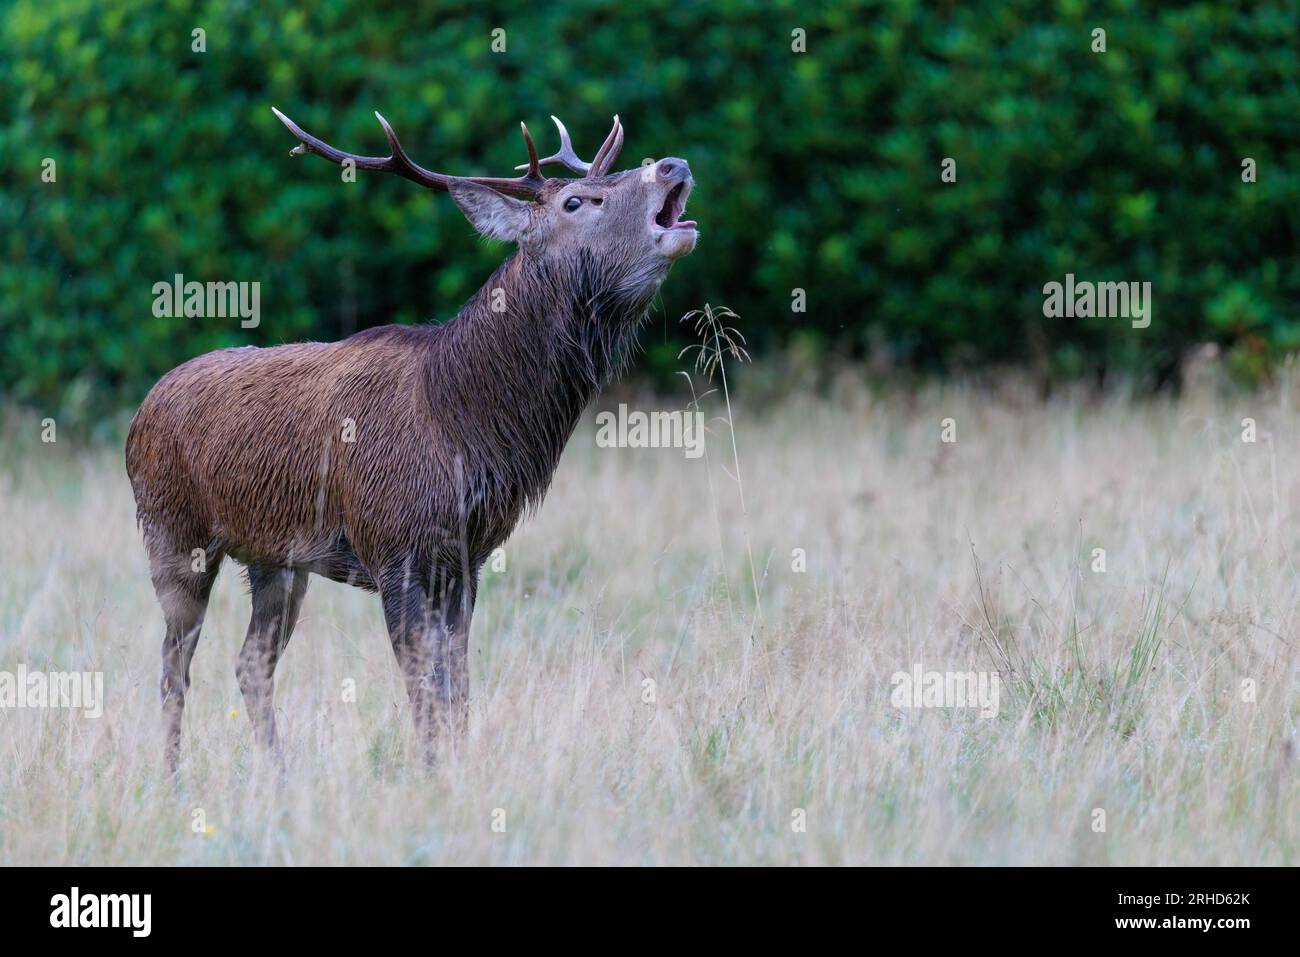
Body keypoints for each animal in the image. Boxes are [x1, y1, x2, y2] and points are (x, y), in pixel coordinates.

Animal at [126, 108, 698, 772]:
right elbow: (425, 685)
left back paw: (278, 774)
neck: (463, 423)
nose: (674, 164)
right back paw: (172, 777)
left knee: (250, 663)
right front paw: (429, 774)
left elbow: (459, 685)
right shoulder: (394, 545)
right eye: (578, 201)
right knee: (173, 664)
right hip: (172, 533)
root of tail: (142, 409)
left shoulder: (466, 559)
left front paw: (457, 766)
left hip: (275, 559)